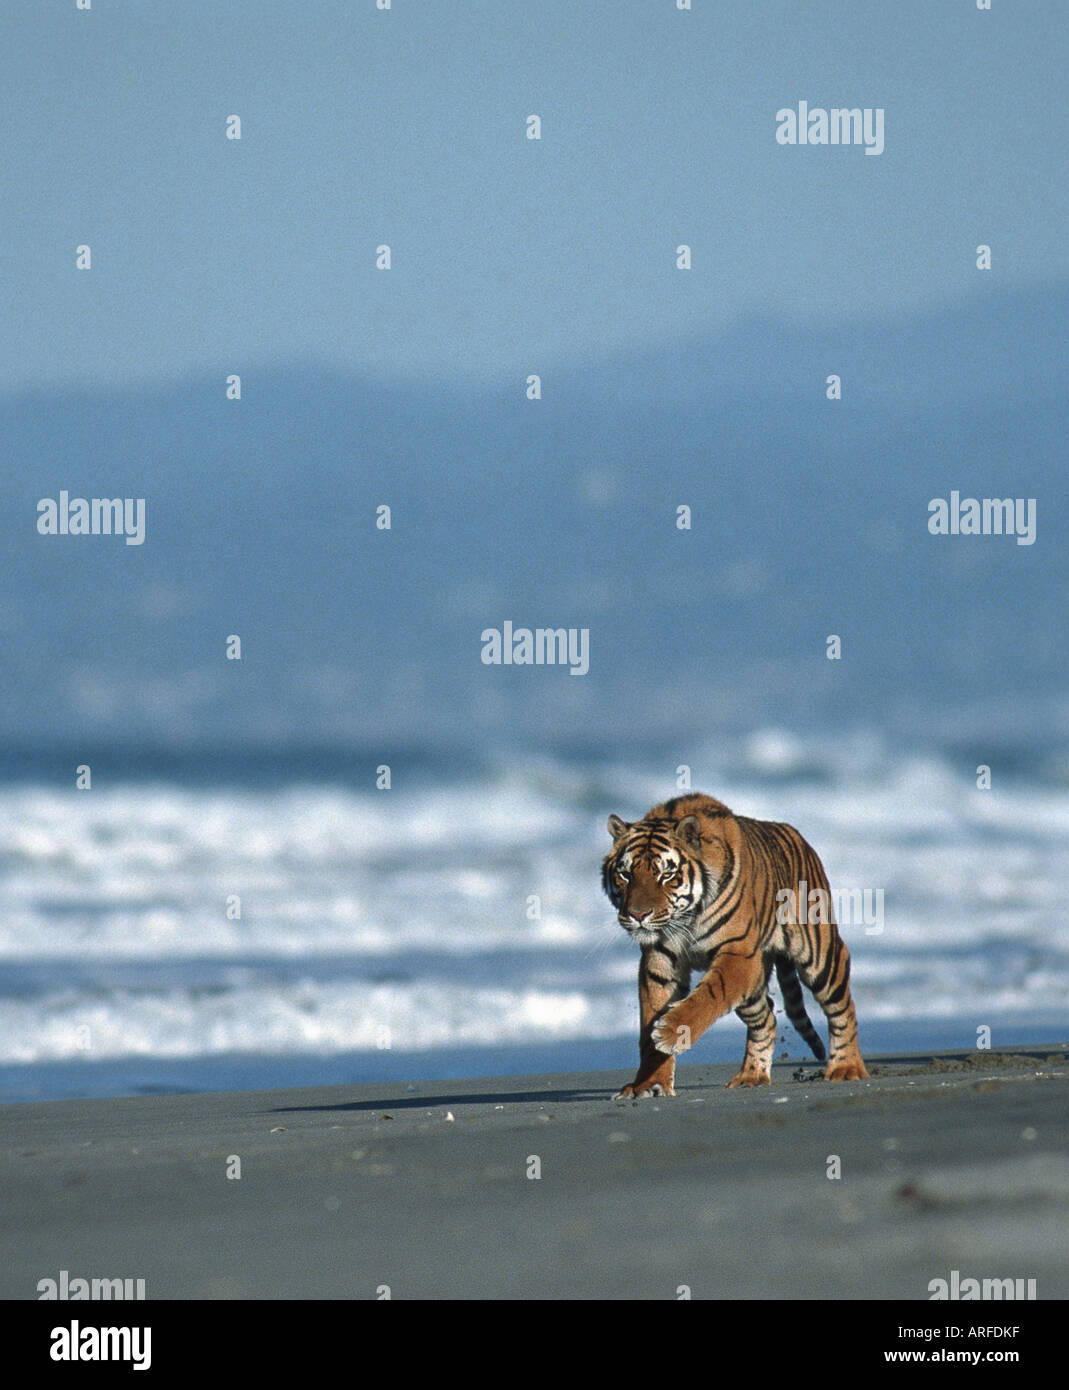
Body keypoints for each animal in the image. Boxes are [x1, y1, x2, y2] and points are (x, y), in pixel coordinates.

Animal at [602, 791, 868, 1098]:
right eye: (625, 874)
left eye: (666, 875)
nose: (638, 915)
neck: (686, 917)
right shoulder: (660, 963)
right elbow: (649, 1029)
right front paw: (649, 1084)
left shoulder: (738, 954)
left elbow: (708, 996)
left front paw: (669, 1030)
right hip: (753, 987)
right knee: (767, 1018)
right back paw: (751, 1075)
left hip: (819, 955)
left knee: (842, 1006)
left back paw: (846, 1067)